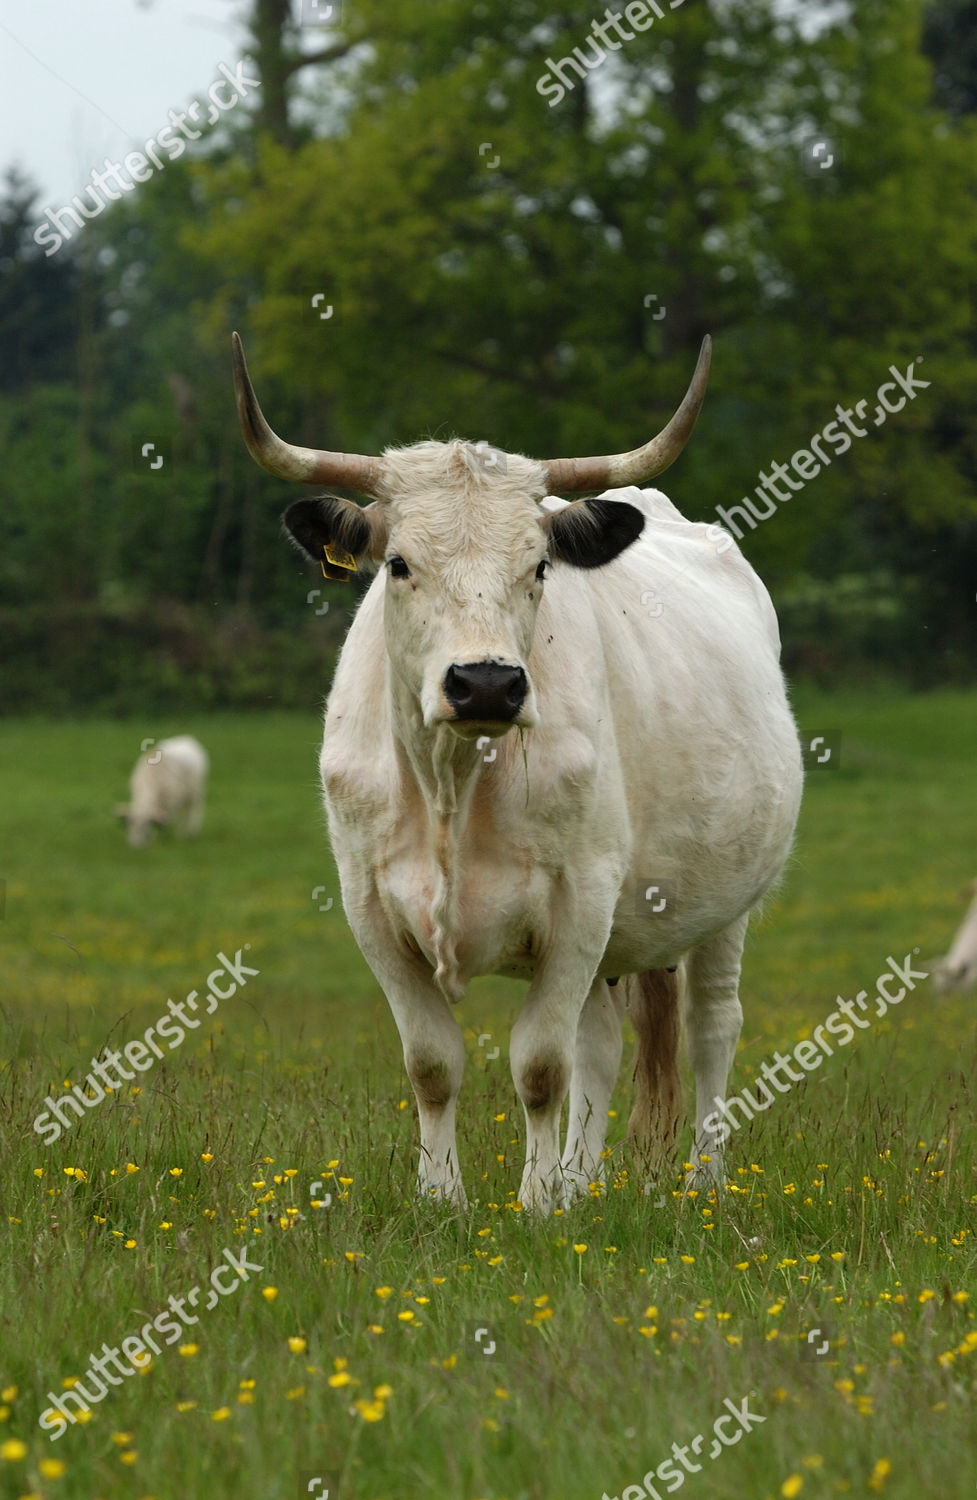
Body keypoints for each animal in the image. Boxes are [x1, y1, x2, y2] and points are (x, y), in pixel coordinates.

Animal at [232, 331, 803, 1212]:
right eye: (398, 563)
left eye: (538, 568)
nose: (486, 683)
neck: (452, 782)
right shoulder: (372, 910)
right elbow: (433, 1065)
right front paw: (447, 1199)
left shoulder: (579, 901)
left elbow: (539, 1066)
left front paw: (533, 1208)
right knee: (601, 1042)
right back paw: (581, 1182)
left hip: (723, 904)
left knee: (711, 1027)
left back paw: (701, 1185)